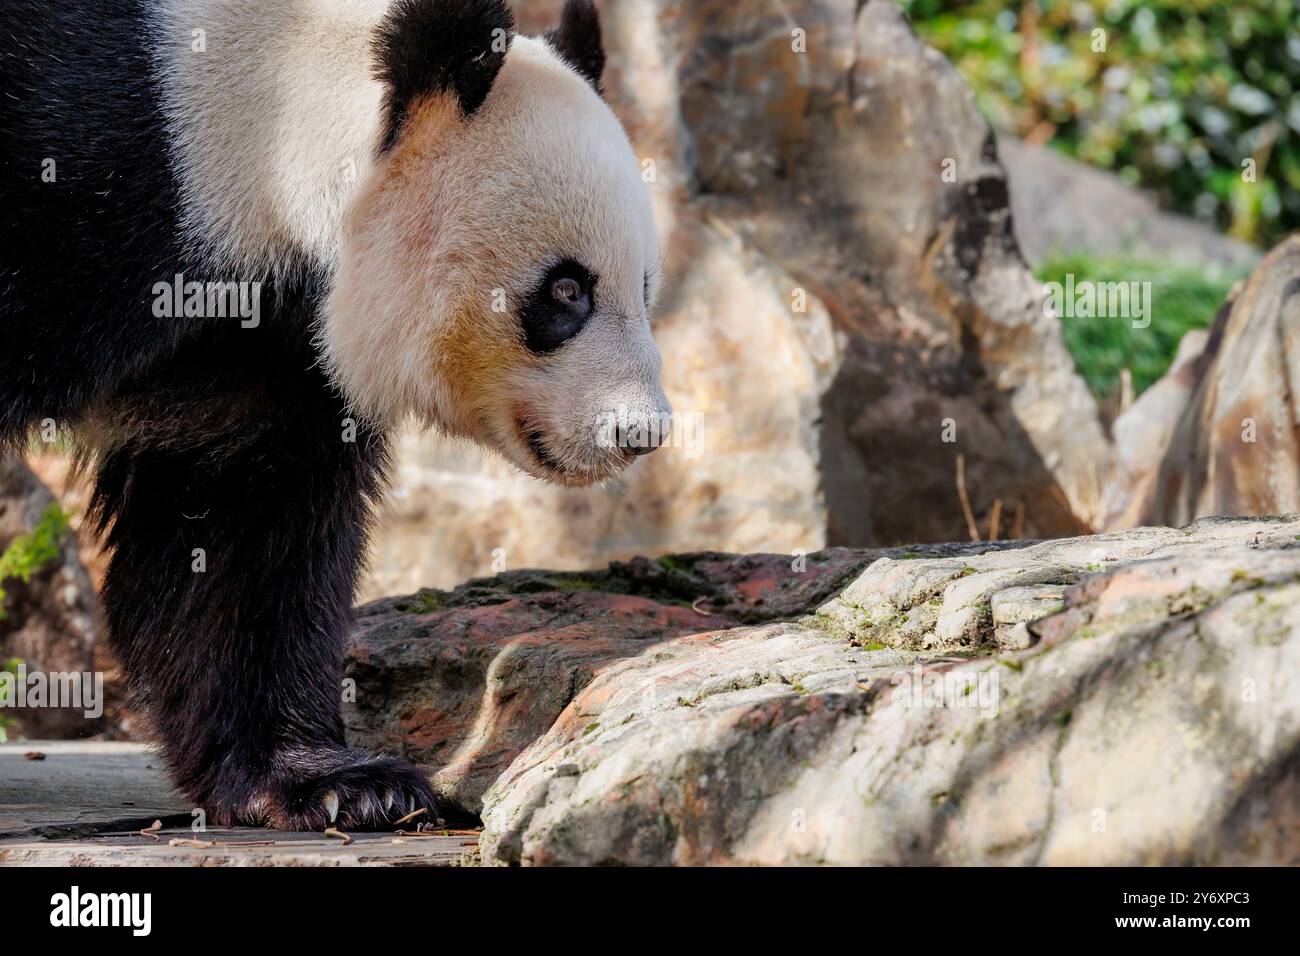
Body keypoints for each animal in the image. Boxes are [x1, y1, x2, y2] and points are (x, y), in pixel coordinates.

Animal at [0, 0, 669, 828]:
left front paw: (334, 783)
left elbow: (243, 531)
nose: (640, 431)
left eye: (645, 287)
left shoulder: (261, 346)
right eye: (566, 290)